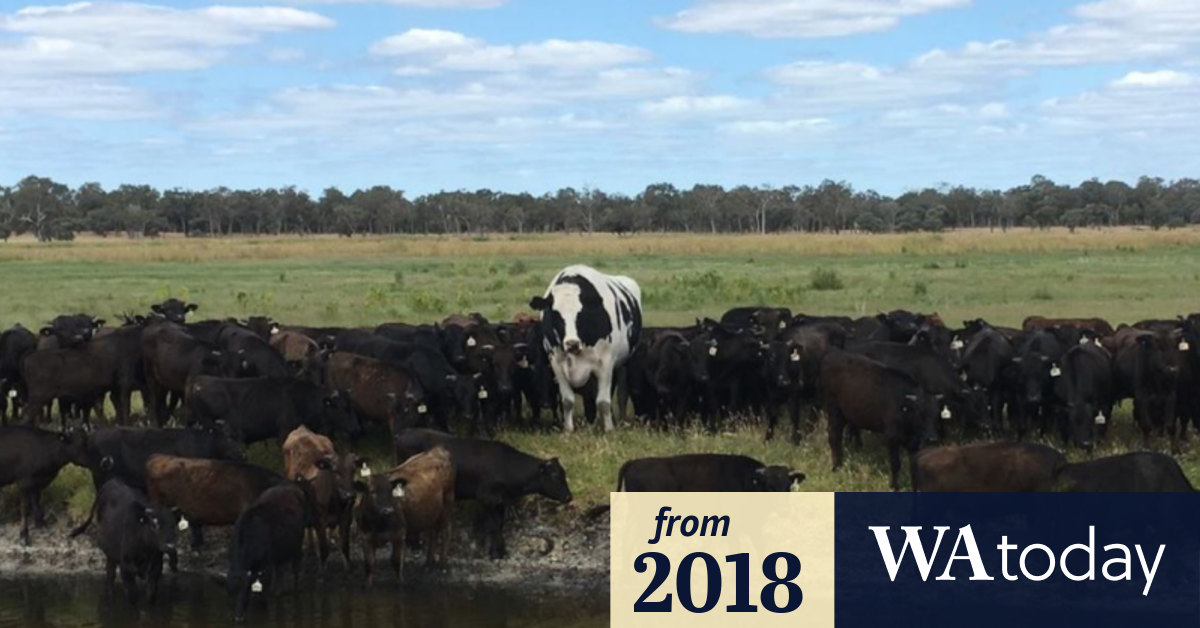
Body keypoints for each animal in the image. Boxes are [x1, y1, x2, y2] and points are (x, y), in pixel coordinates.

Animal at [227, 481, 327, 622]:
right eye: (230, 596)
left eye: (244, 592)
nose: (238, 617)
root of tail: (288, 486)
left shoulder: (266, 567)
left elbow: (262, 597)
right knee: (280, 570)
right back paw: (278, 592)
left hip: (297, 542)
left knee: (296, 566)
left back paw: (295, 589)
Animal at [393, 429, 571, 559]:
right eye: (554, 476)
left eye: (564, 474)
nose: (569, 497)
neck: (506, 465)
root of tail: (404, 433)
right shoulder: (486, 498)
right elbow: (494, 526)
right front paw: (497, 553)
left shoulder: (501, 501)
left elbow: (500, 524)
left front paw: (499, 551)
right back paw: (414, 544)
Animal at [529, 264, 643, 433]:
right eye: (556, 314)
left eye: (581, 313)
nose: (572, 343)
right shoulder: (556, 363)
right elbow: (567, 401)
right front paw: (568, 430)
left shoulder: (605, 363)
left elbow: (603, 401)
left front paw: (609, 429)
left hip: (623, 362)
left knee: (621, 395)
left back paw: (619, 421)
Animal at [820, 349, 940, 491]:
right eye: (920, 414)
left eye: (936, 415)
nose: (932, 439)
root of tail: (832, 356)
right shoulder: (892, 436)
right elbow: (895, 463)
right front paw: (894, 486)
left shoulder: (914, 442)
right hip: (835, 411)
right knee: (834, 437)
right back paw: (837, 467)